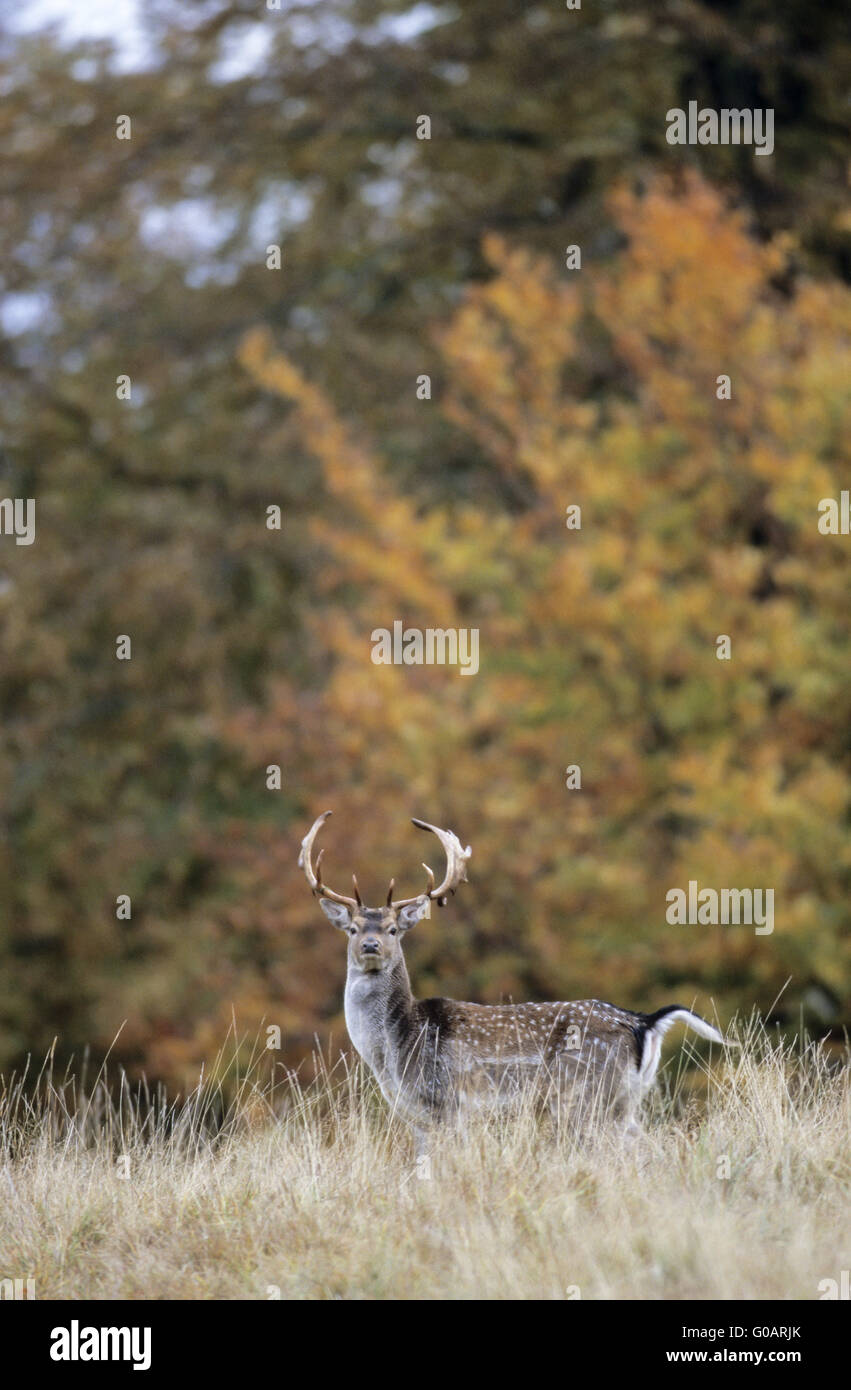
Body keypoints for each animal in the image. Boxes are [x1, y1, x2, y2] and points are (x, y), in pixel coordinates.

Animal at [299, 812, 735, 1150]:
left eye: (392, 929)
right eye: (352, 929)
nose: (371, 945)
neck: (393, 1048)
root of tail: (644, 1021)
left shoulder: (446, 1104)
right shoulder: (416, 1116)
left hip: (587, 1097)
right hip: (624, 1100)